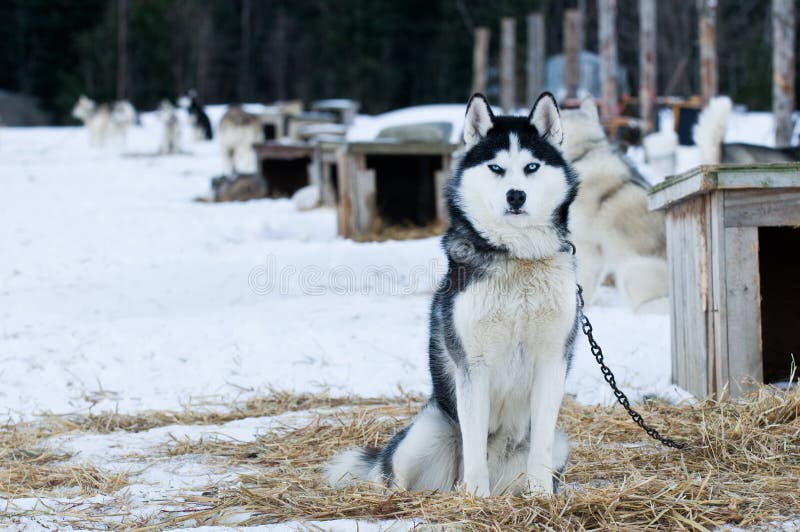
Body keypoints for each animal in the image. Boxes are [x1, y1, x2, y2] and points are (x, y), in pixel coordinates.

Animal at [322, 93, 580, 496]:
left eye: (532, 167)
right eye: (495, 168)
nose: (516, 195)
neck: (514, 256)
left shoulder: (553, 359)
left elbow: (541, 444)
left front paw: (542, 499)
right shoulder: (473, 364)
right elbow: (473, 446)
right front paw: (477, 497)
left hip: (560, 443)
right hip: (426, 432)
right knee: (392, 474)